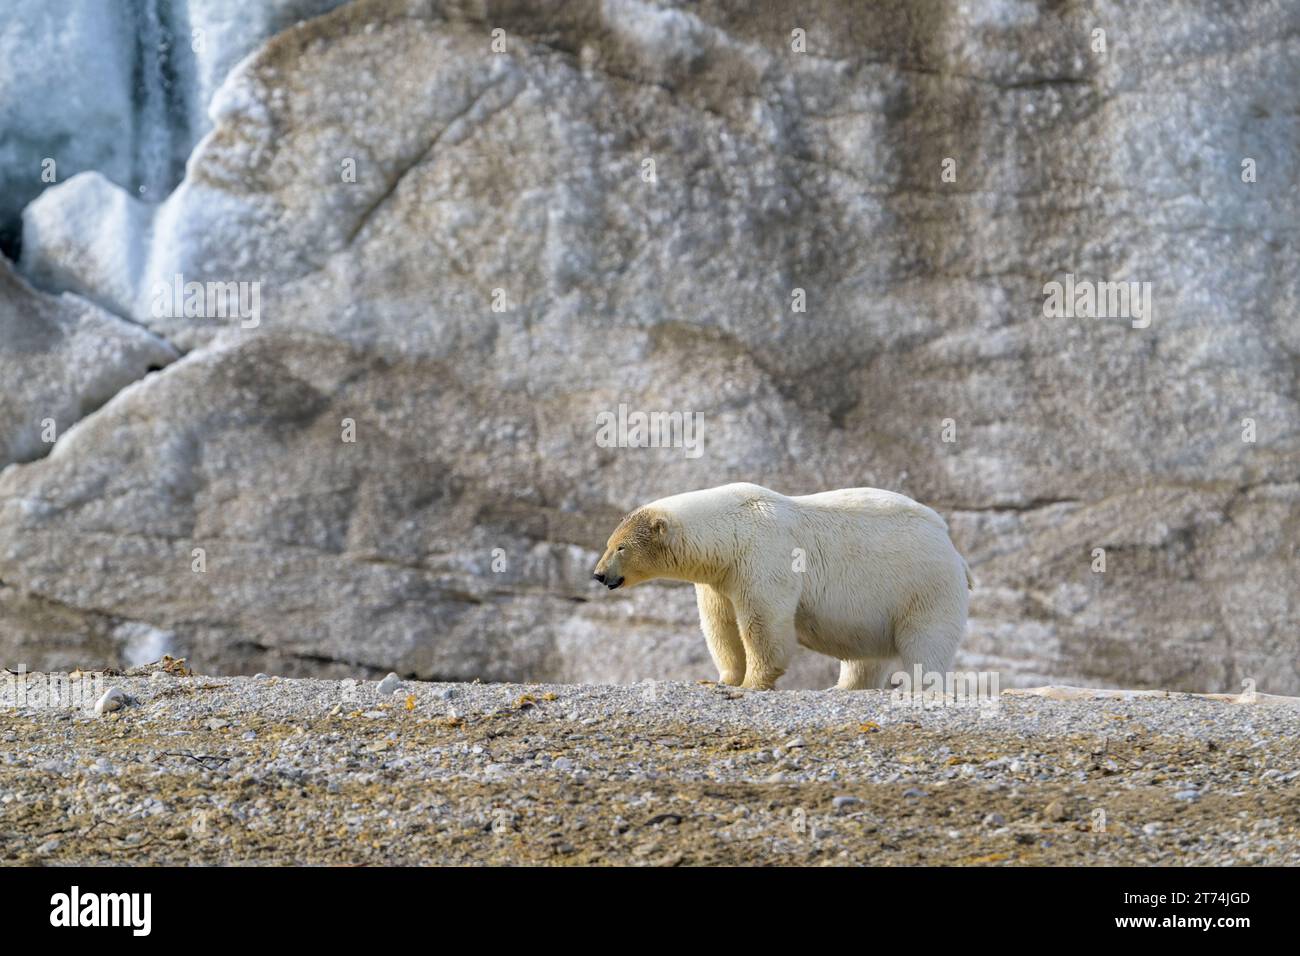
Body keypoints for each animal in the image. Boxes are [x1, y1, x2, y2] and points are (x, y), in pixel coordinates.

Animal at [592, 482, 973, 690]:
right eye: (609, 543)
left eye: (620, 547)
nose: (598, 574)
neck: (731, 528)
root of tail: (953, 548)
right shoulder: (720, 577)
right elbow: (721, 625)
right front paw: (724, 678)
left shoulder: (762, 555)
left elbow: (764, 621)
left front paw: (753, 683)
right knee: (865, 656)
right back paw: (841, 687)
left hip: (924, 583)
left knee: (926, 640)